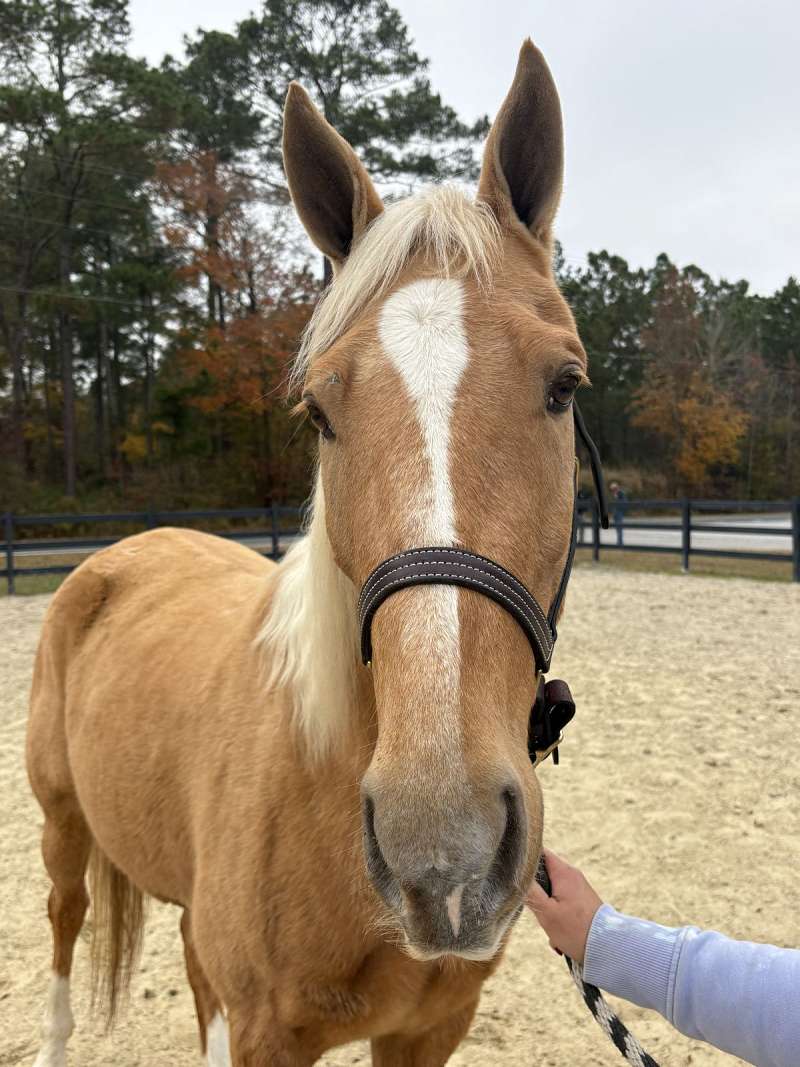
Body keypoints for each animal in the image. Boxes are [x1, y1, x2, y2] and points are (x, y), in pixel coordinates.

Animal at [26, 39, 588, 1067]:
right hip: (62, 825)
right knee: (62, 924)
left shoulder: (429, 1029)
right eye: (320, 410)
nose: (441, 849)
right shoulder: (269, 1037)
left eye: (565, 384)